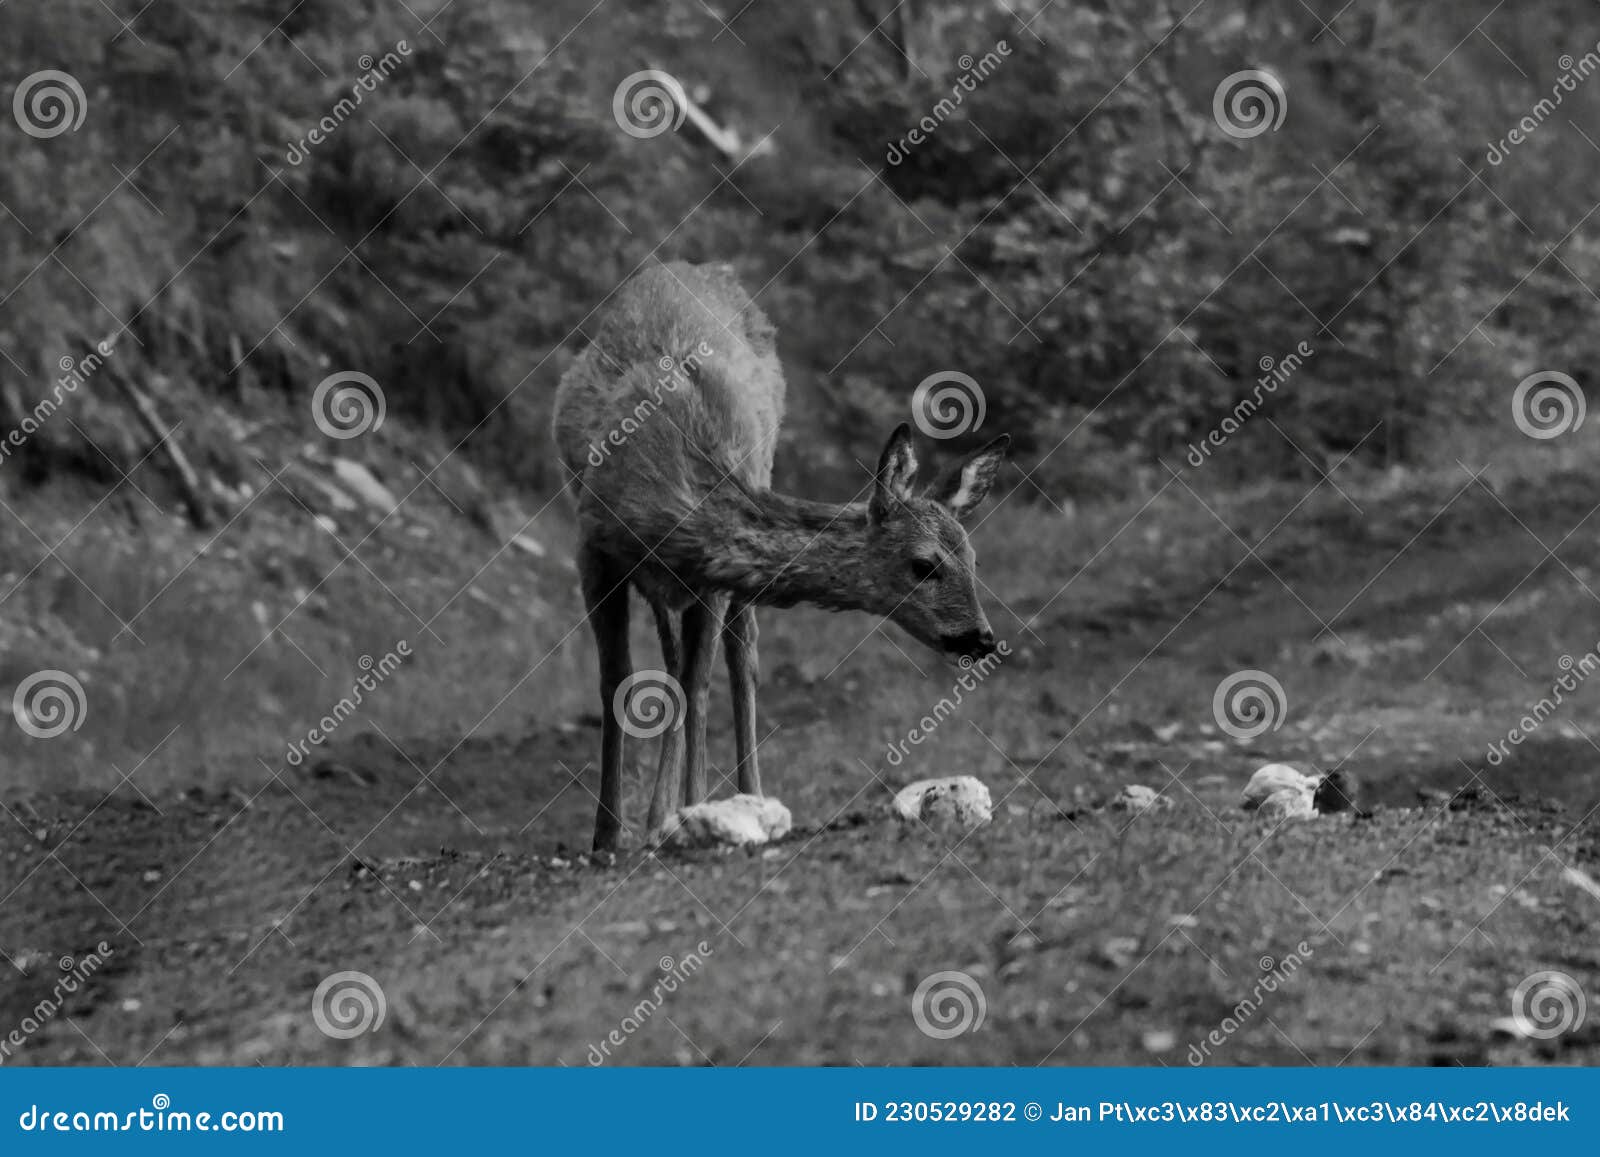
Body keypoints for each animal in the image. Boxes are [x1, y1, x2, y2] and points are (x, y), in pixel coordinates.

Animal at [553, 261, 1009, 852]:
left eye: (974, 560)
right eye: (924, 564)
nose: (982, 637)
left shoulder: (709, 577)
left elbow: (697, 683)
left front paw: (683, 812)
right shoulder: (593, 545)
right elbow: (617, 682)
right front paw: (608, 834)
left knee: (737, 658)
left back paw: (741, 797)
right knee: (679, 662)